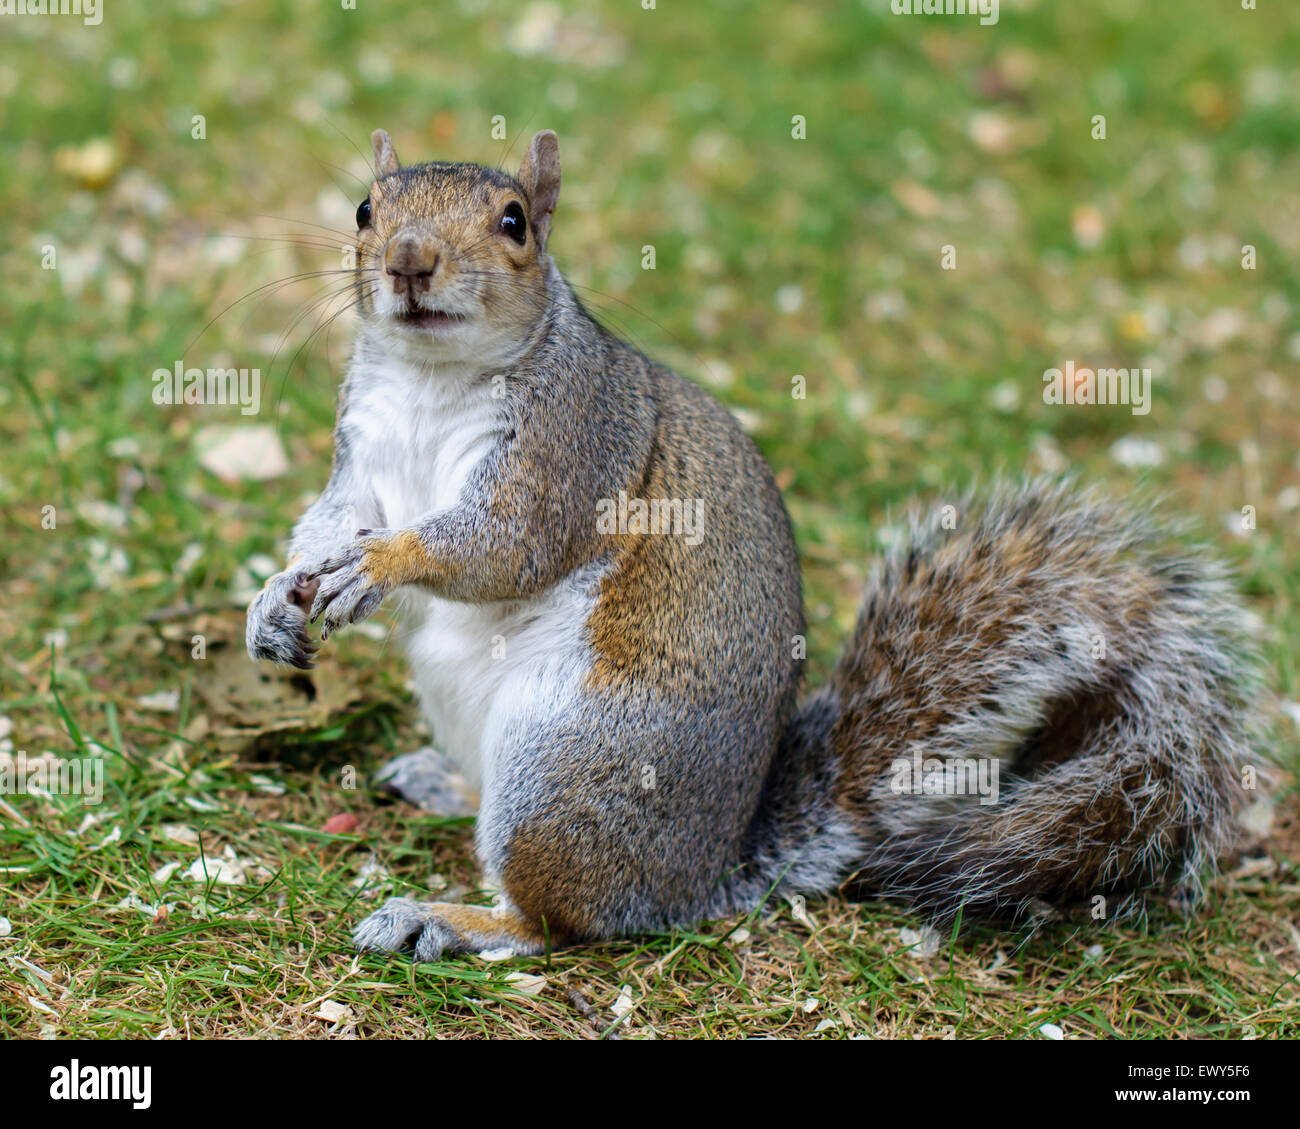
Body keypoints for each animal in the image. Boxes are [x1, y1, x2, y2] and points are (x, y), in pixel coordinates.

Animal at [246, 127, 1258, 961]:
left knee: (563, 919)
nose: (409, 261)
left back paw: (450, 917)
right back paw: (446, 784)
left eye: (515, 222)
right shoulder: (362, 455)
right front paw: (272, 601)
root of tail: (712, 868)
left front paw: (380, 563)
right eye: (366, 209)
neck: (432, 378)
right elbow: (330, 519)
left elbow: (502, 546)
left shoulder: (573, 442)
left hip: (569, 764)